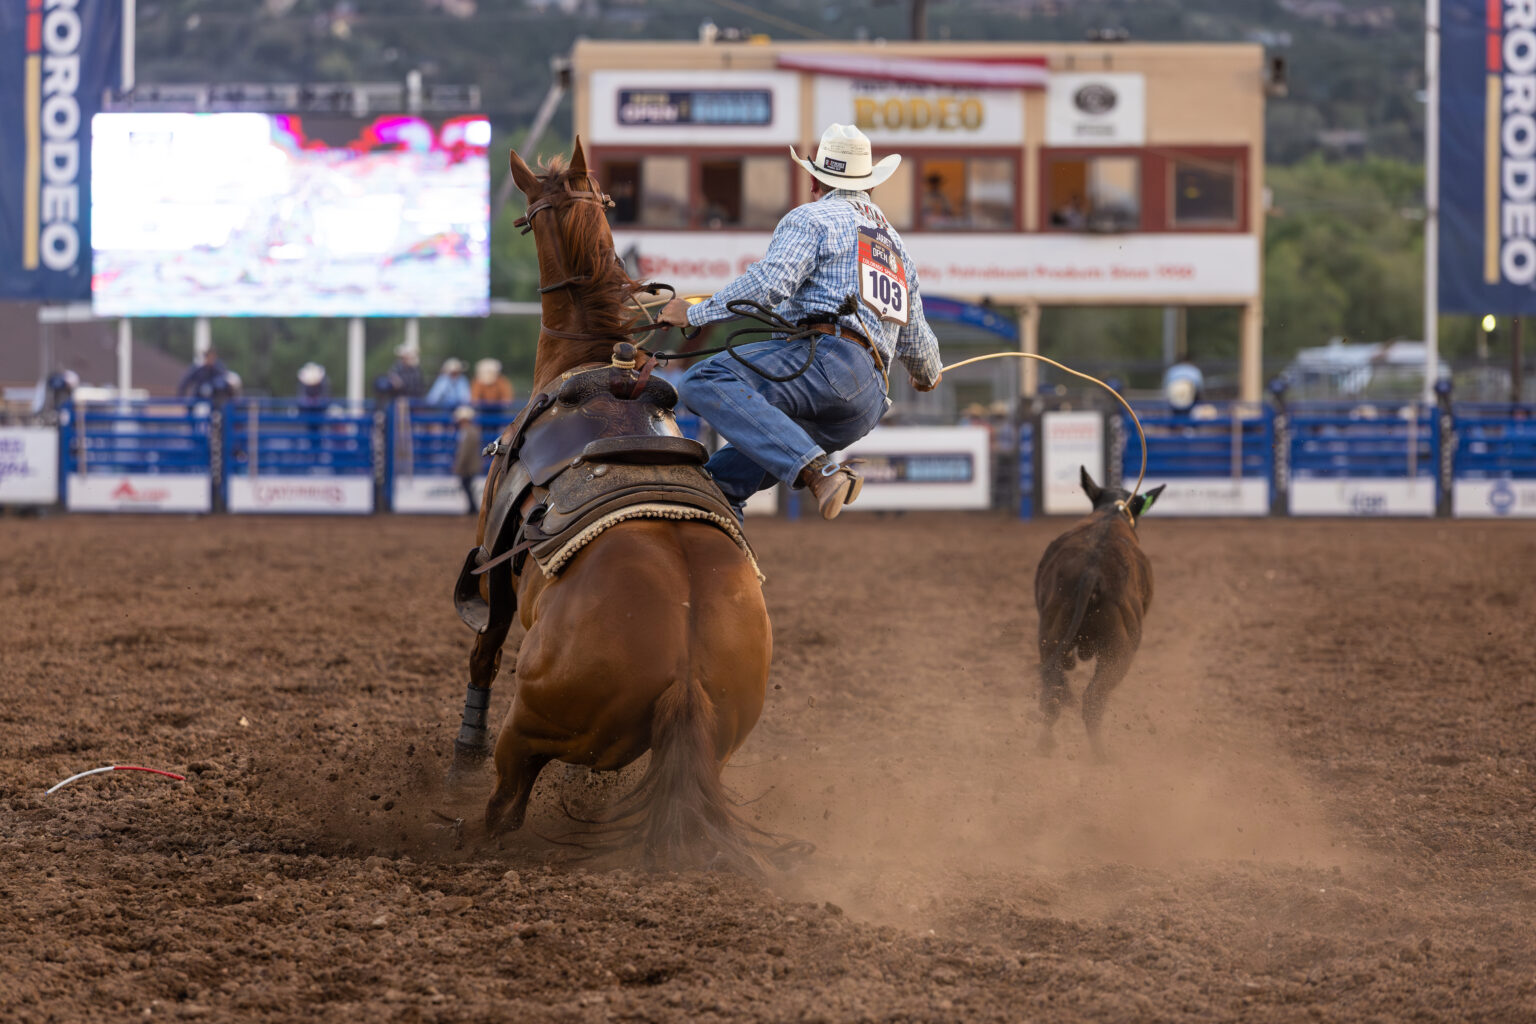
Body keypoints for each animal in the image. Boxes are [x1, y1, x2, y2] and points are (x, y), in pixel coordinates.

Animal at [1034, 467, 1164, 761]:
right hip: (1119, 653)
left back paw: (1046, 744)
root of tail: (1092, 572)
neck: (1111, 512)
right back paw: (1101, 756)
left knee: (1053, 691)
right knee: (1092, 700)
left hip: (1050, 636)